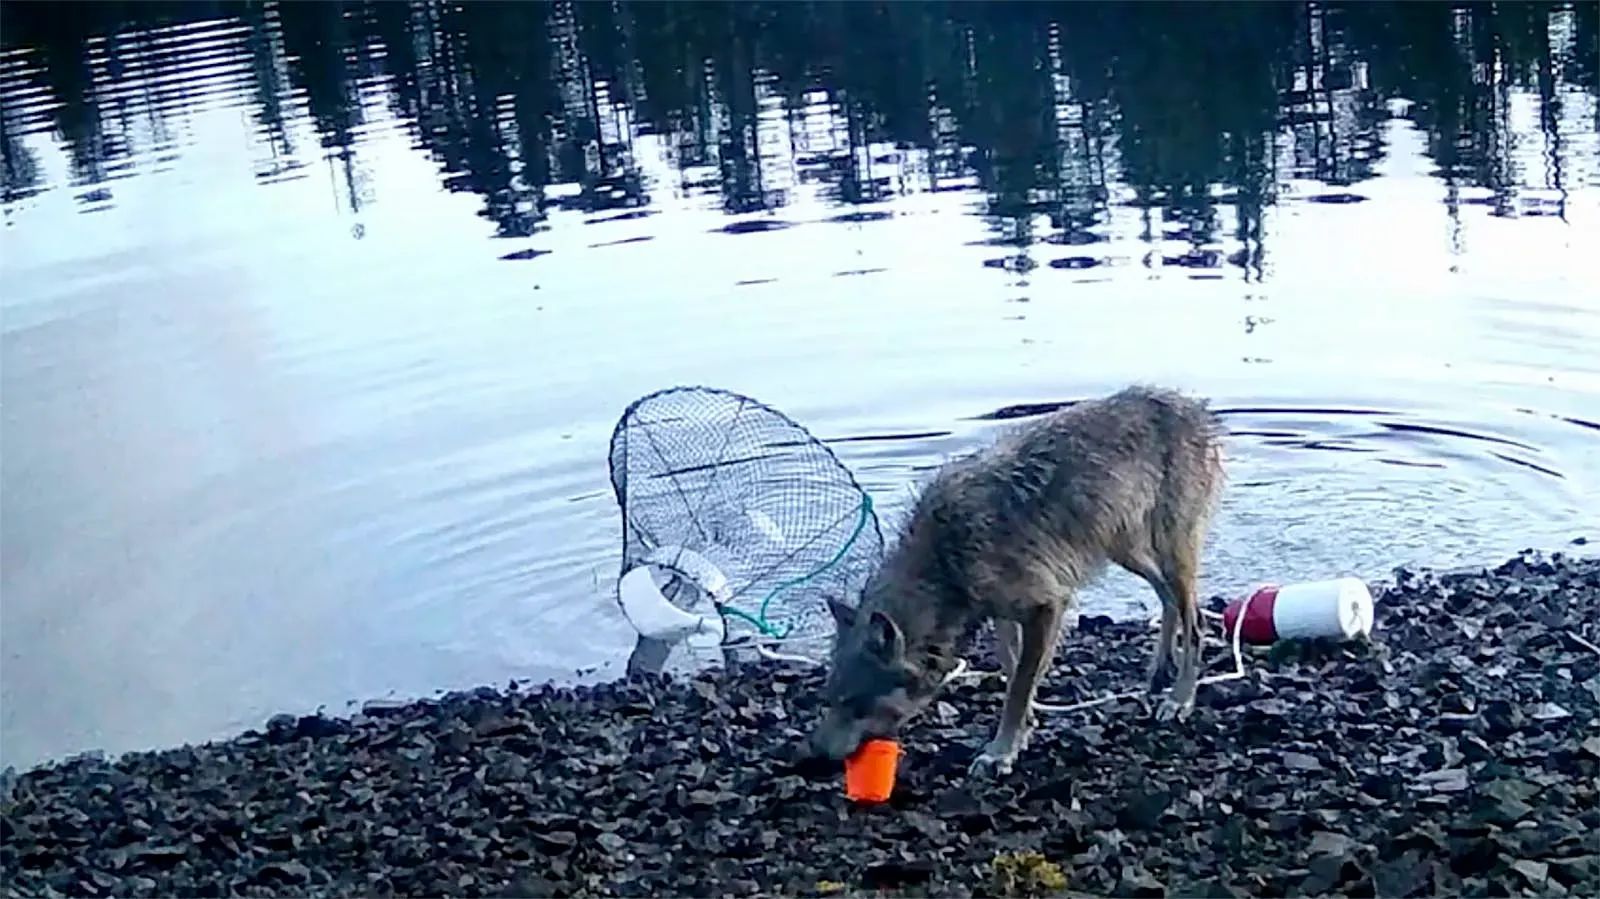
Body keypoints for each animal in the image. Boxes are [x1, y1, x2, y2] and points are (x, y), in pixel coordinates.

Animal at [808, 385, 1227, 776]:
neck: (944, 562)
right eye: (828, 699)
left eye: (853, 703)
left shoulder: (1048, 606)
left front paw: (1000, 752)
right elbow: (1013, 671)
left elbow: (1019, 686)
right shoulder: (1004, 615)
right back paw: (1158, 672)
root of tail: (1196, 408)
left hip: (1170, 553)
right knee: (1167, 599)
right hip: (1127, 551)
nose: (814, 756)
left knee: (1196, 622)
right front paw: (1023, 731)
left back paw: (1180, 699)